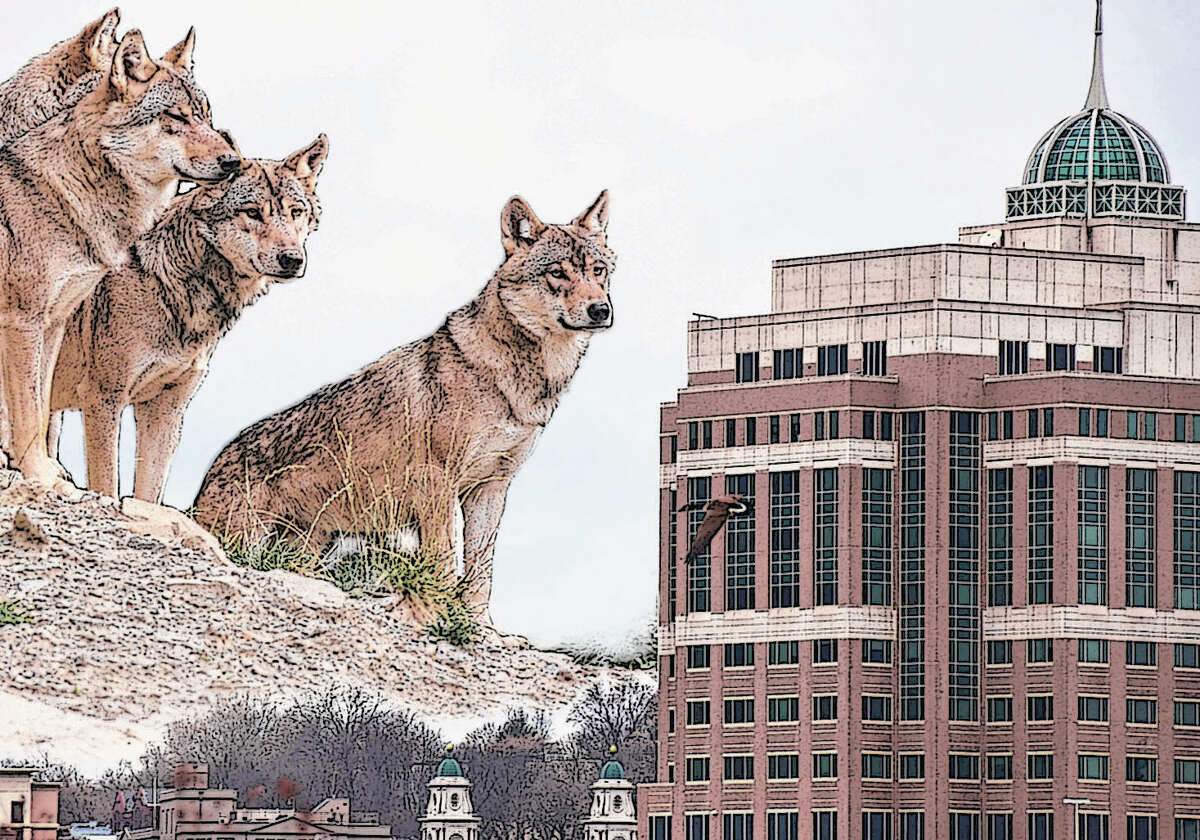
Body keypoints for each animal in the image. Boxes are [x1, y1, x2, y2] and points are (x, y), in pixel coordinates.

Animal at [0, 27, 237, 488]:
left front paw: (47, 473)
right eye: (177, 117)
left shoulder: (53, 324)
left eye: (206, 117)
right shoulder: (22, 321)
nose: (233, 161)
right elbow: (29, 414)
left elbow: (41, 410)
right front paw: (38, 473)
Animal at [49, 135, 328, 503]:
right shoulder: (103, 399)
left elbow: (148, 495)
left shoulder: (165, 411)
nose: (292, 259)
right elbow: (107, 486)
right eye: (252, 213)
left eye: (296, 213)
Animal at [193, 191, 614, 613]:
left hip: (309, 547)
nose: (600, 310)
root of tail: (218, 457)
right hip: (244, 536)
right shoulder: (438, 481)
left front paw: (479, 624)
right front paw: (440, 611)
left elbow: (481, 573)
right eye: (557, 273)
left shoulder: (491, 487)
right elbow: (445, 561)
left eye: (599, 271)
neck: (522, 382)